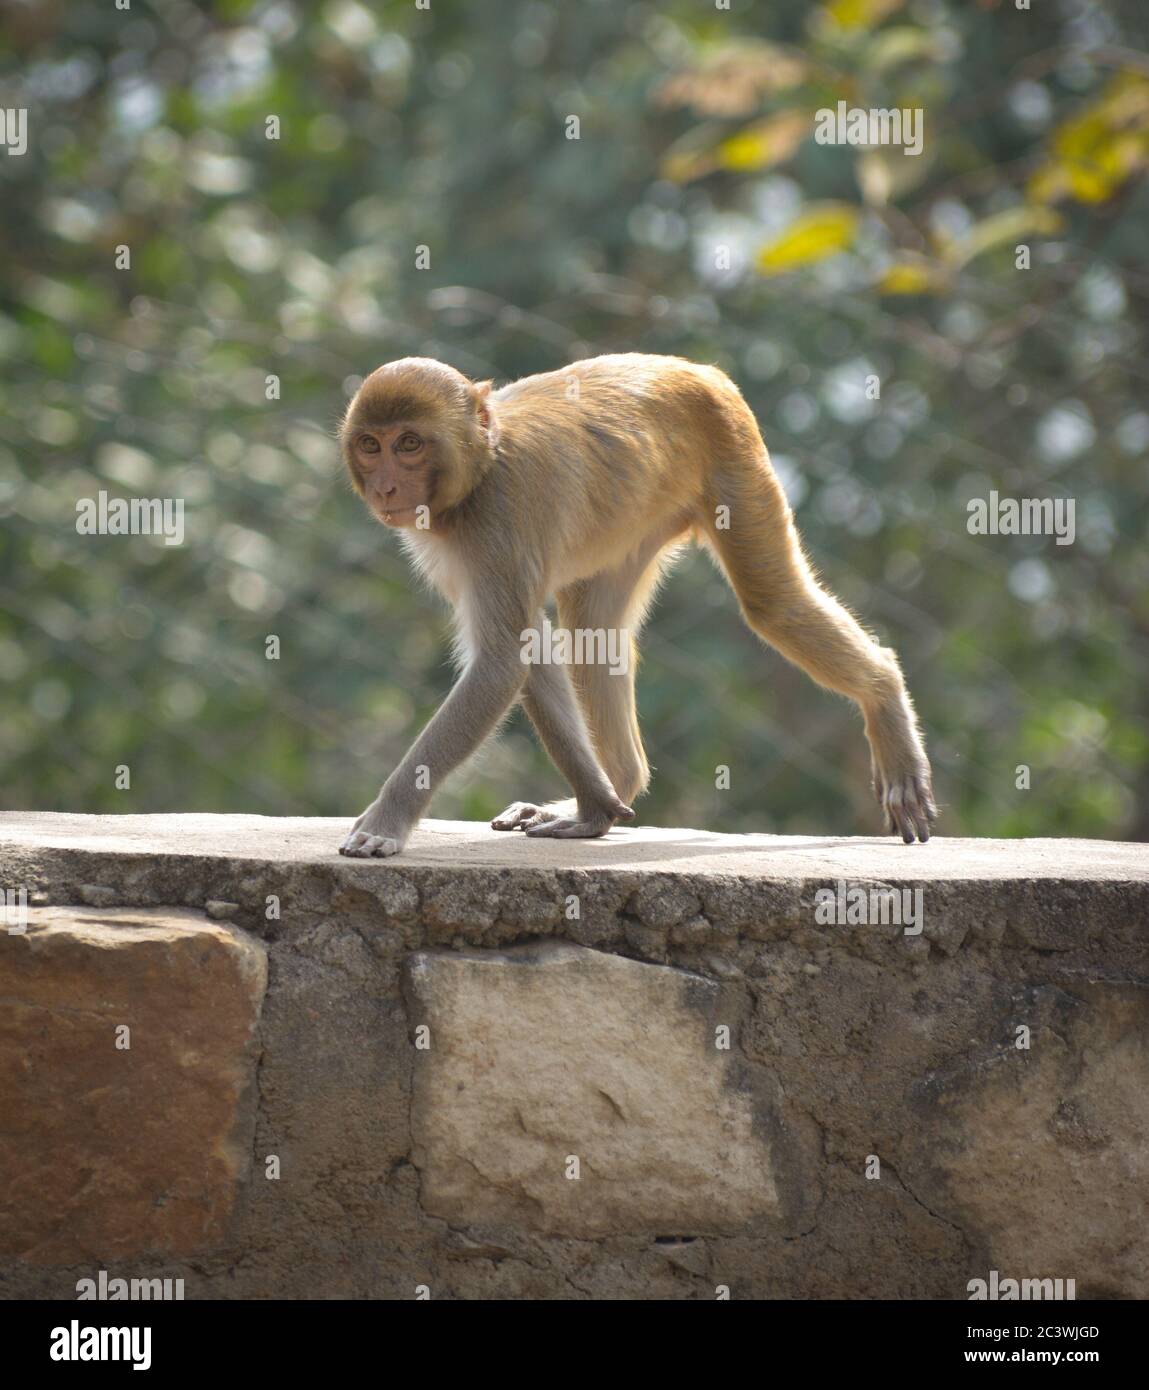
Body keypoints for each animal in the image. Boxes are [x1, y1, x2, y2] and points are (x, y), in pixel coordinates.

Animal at [338, 353, 937, 857]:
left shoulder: (496, 523)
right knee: (594, 632)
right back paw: (618, 780)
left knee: (774, 604)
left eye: (409, 444)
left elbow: (503, 662)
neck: (481, 468)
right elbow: (533, 650)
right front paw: (595, 807)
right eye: (371, 445)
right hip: (634, 523)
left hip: (734, 455)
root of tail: (697, 369)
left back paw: (884, 693)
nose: (386, 488)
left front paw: (385, 822)